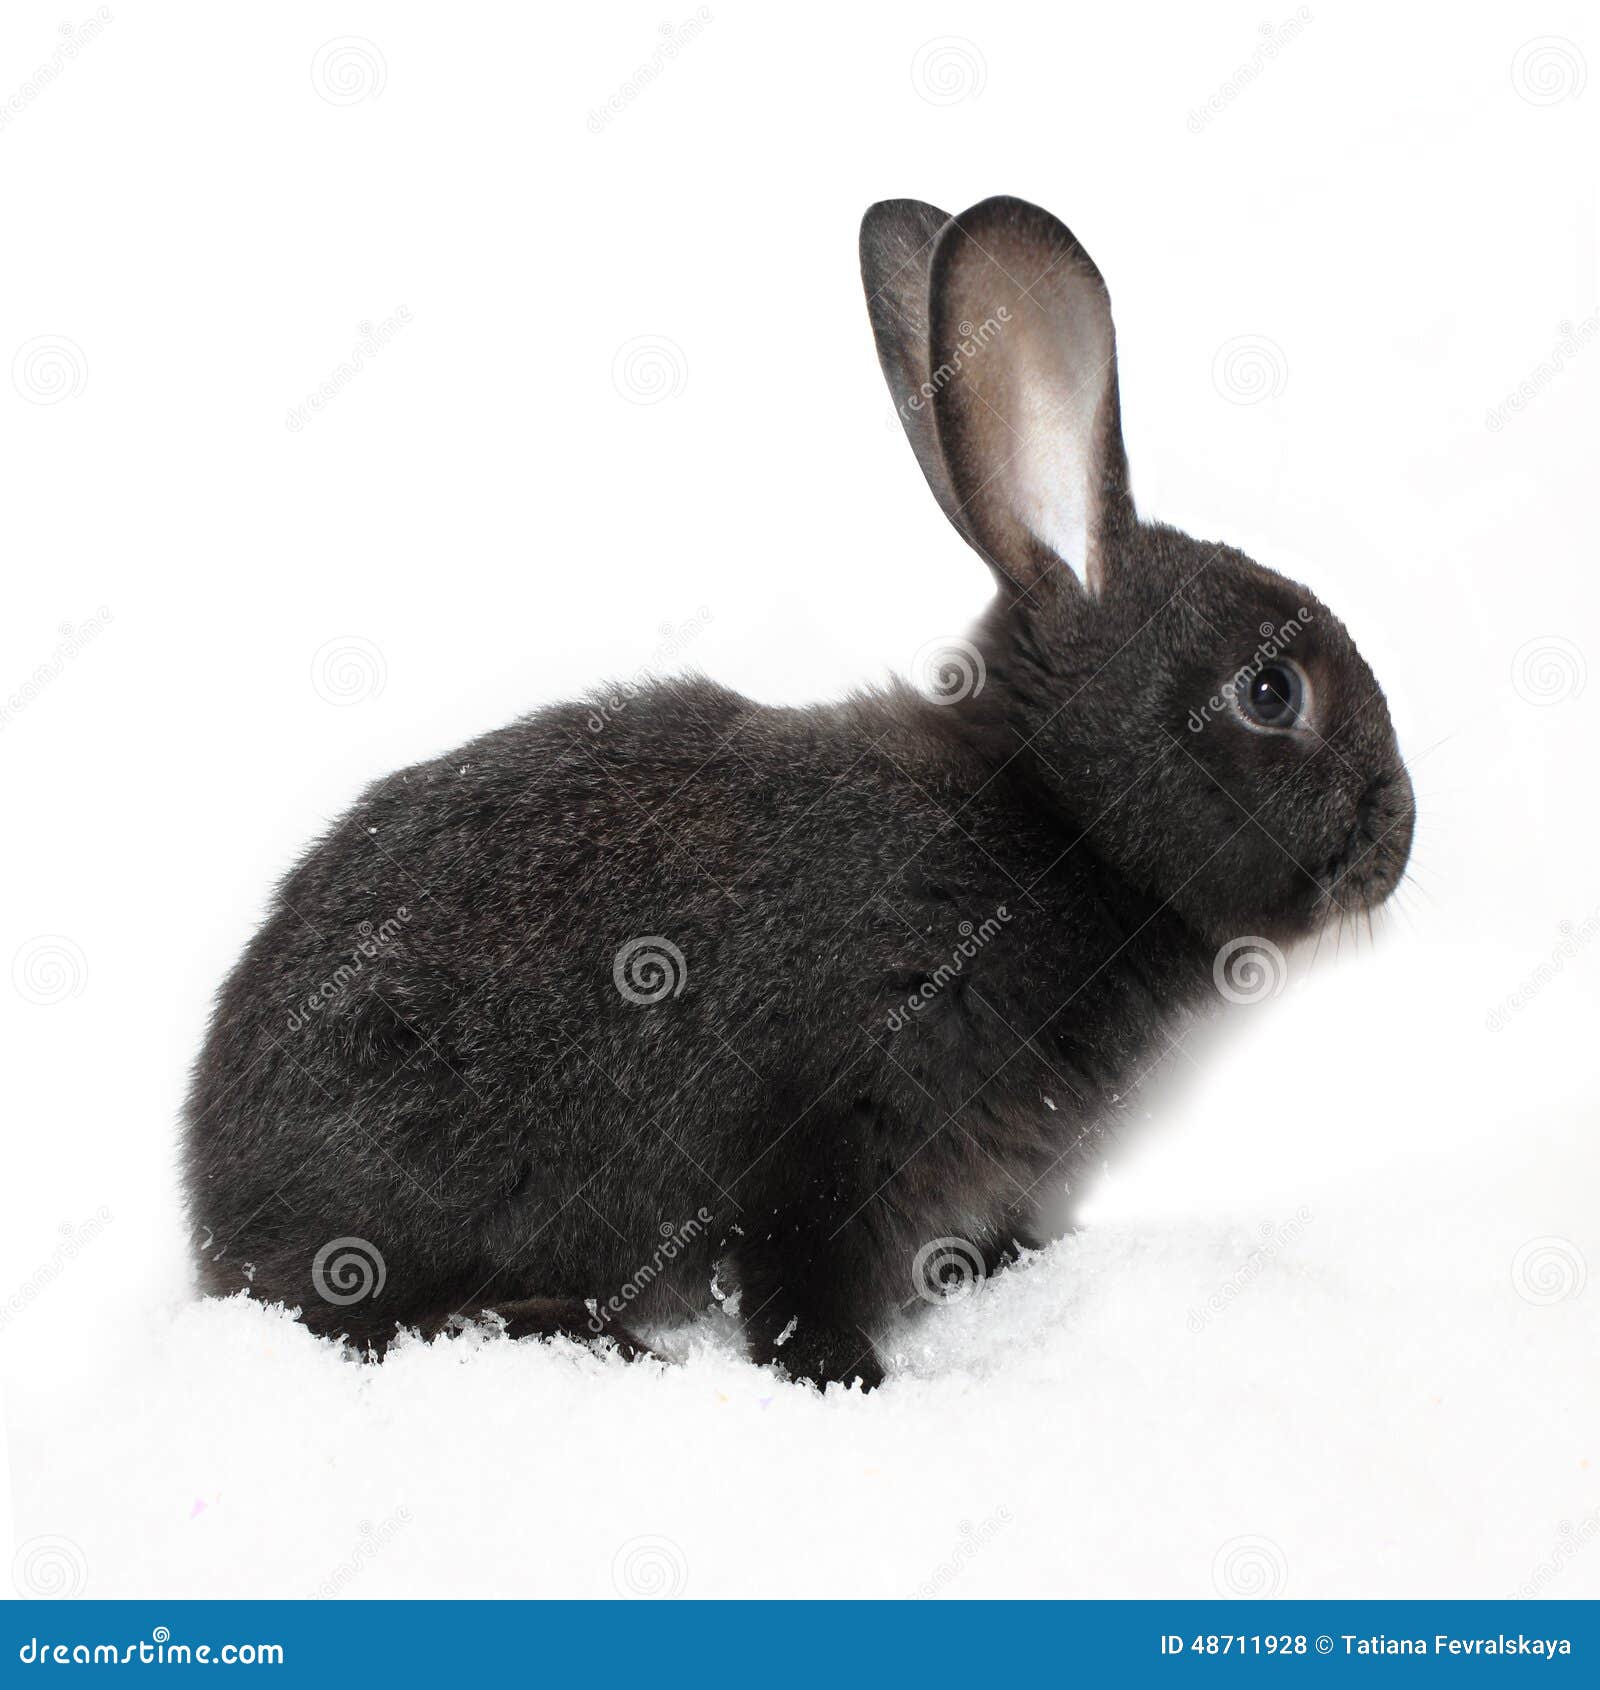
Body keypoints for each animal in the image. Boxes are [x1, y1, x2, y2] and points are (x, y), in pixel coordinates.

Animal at [184, 195, 1415, 1390]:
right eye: (1270, 689)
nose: (1398, 829)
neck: (1051, 822)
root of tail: (213, 1220)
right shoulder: (835, 1114)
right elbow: (800, 1277)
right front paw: (850, 1377)